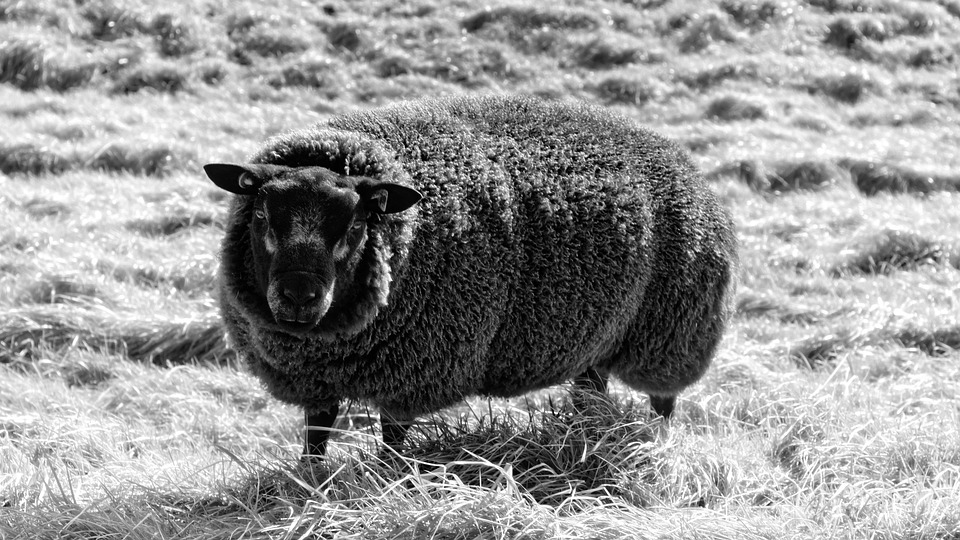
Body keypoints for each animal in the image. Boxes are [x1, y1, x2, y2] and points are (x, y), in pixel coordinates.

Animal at [204, 94, 738, 457]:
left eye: (356, 225)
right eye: (261, 216)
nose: (299, 295)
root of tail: (679, 159)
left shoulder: (411, 373)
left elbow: (392, 444)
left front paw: (385, 485)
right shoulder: (314, 380)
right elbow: (316, 438)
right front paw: (312, 486)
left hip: (672, 333)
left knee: (663, 402)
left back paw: (655, 448)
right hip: (596, 338)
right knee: (592, 392)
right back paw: (586, 436)